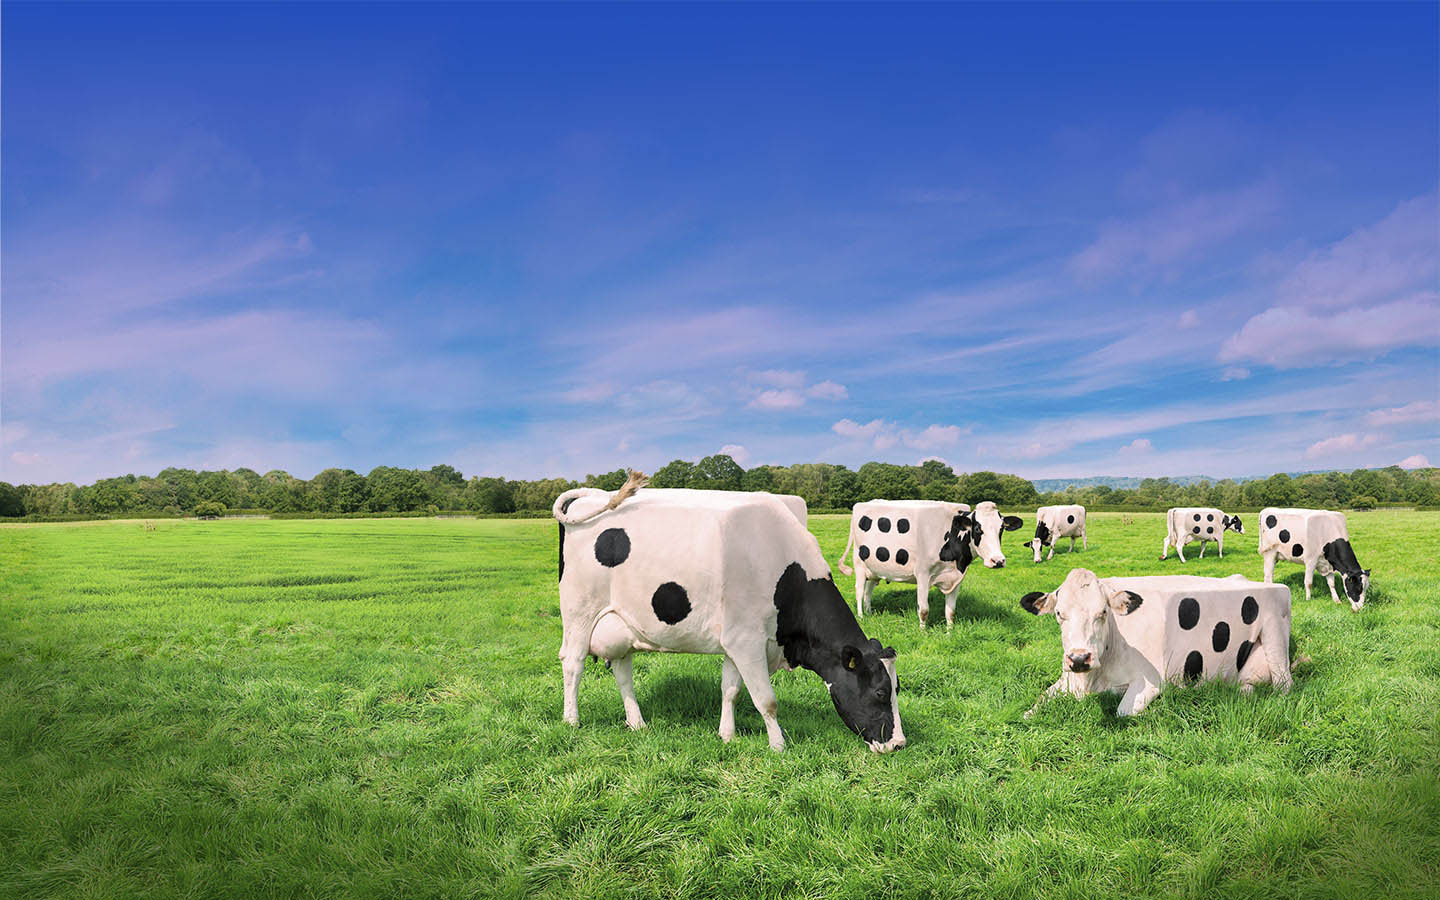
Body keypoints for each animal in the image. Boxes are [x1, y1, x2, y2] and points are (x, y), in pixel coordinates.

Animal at [553, 473, 905, 753]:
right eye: (880, 691)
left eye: (897, 688)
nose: (898, 744)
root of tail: (594, 495)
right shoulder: (746, 642)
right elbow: (766, 700)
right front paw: (778, 746)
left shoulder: (738, 641)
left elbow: (731, 690)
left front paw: (727, 735)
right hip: (579, 611)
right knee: (573, 663)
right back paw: (571, 720)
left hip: (621, 624)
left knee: (623, 673)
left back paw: (637, 723)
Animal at [836, 499, 1022, 629]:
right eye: (977, 528)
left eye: (1001, 529)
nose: (998, 561)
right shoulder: (923, 574)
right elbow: (924, 609)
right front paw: (922, 631)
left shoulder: (956, 578)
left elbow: (951, 611)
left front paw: (949, 632)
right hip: (859, 563)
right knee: (860, 590)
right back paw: (861, 617)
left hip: (874, 568)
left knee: (868, 590)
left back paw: (869, 613)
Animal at [1020, 569, 1292, 717]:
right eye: (1059, 614)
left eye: (1103, 612)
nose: (1078, 658)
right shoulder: (1067, 679)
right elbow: (1032, 709)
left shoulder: (1150, 681)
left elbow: (1122, 711)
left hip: (1274, 629)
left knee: (1284, 683)